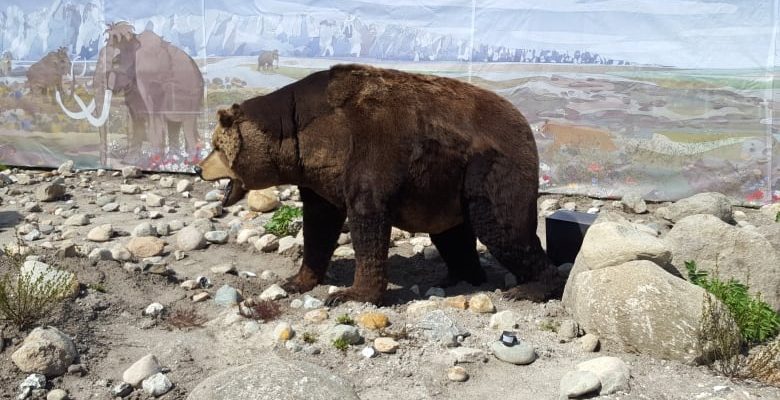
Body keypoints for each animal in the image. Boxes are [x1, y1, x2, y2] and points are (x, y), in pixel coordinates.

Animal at [195, 64, 550, 305]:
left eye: (216, 145)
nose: (199, 168)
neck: (304, 139)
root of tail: (524, 122)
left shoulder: (369, 152)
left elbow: (367, 221)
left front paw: (350, 293)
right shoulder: (319, 179)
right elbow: (318, 227)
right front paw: (296, 280)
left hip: (490, 167)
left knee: (501, 226)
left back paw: (531, 287)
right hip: (447, 186)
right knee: (452, 234)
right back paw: (459, 276)